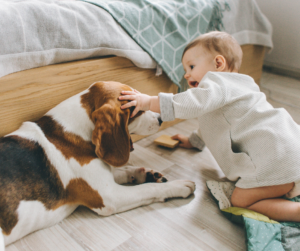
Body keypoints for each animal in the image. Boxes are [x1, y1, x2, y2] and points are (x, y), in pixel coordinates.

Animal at [0, 81, 196, 248]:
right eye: (137, 109)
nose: (161, 118)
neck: (75, 131)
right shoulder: (110, 196)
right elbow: (149, 189)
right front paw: (178, 186)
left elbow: (122, 170)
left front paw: (145, 174)